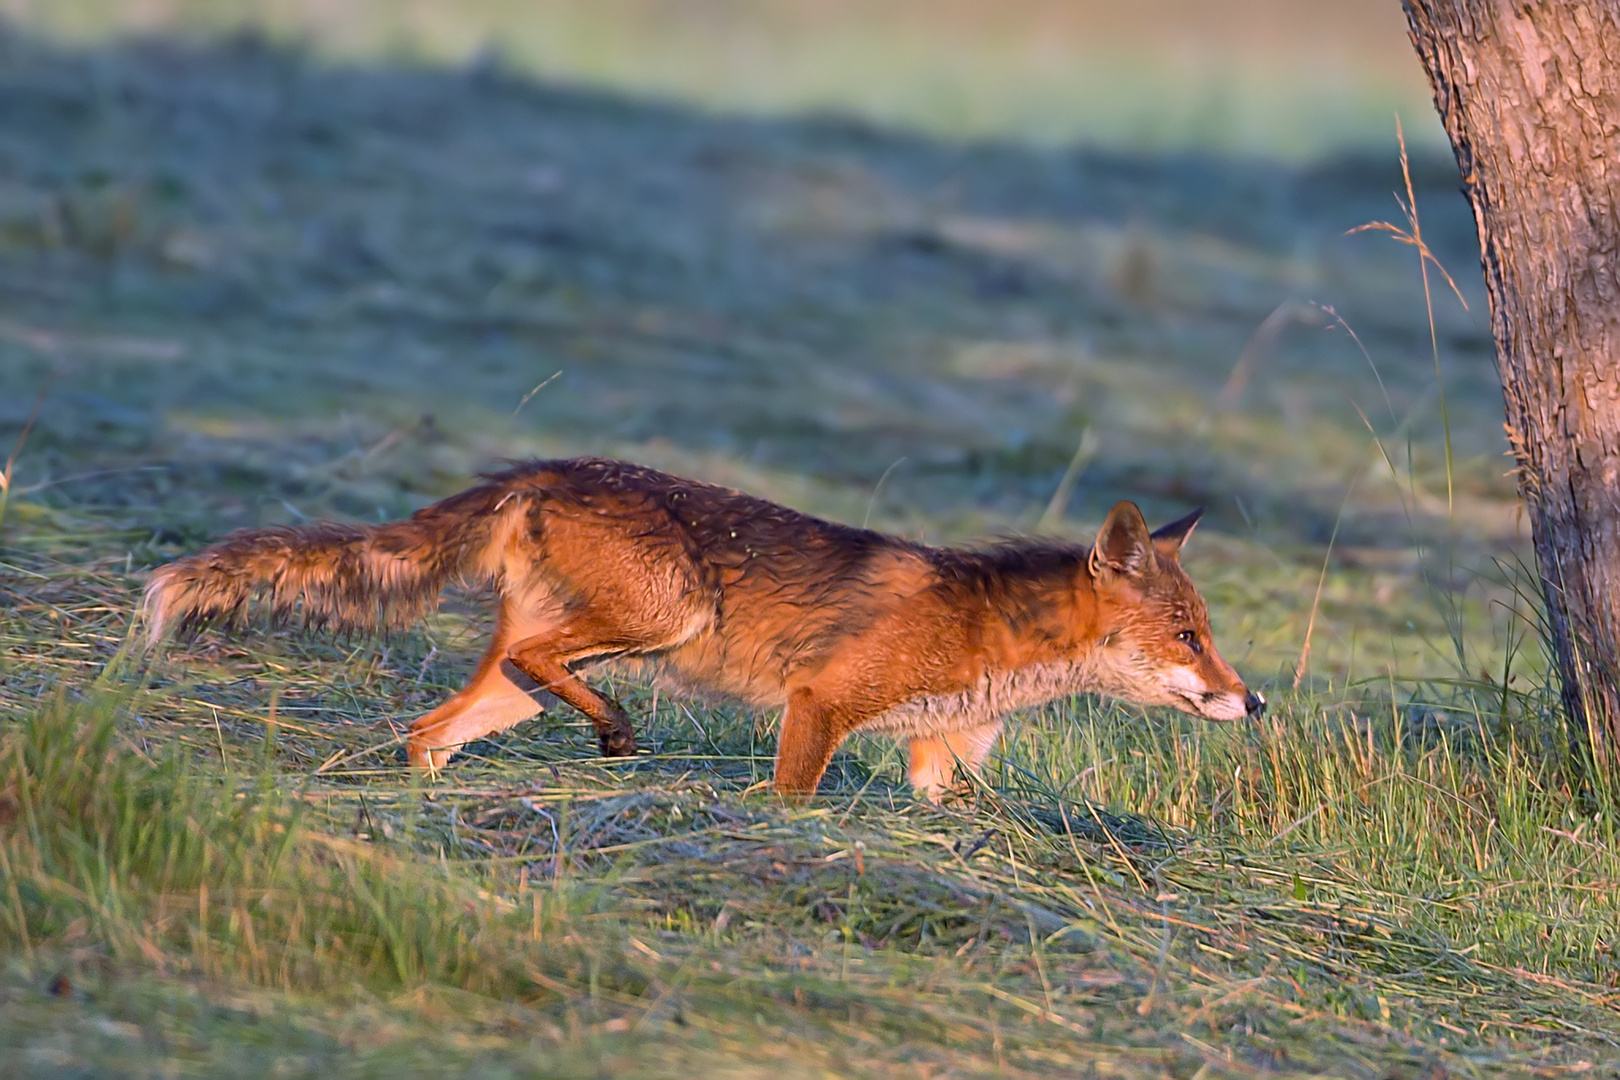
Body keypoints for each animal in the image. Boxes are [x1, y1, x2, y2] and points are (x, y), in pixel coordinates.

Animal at [142, 457, 1263, 799]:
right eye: (1188, 638)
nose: (1253, 700)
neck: (994, 645)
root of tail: (539, 467)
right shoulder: (821, 706)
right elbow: (794, 801)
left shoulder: (939, 759)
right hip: (665, 615)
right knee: (551, 666)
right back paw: (614, 730)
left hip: (516, 689)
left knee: (432, 729)